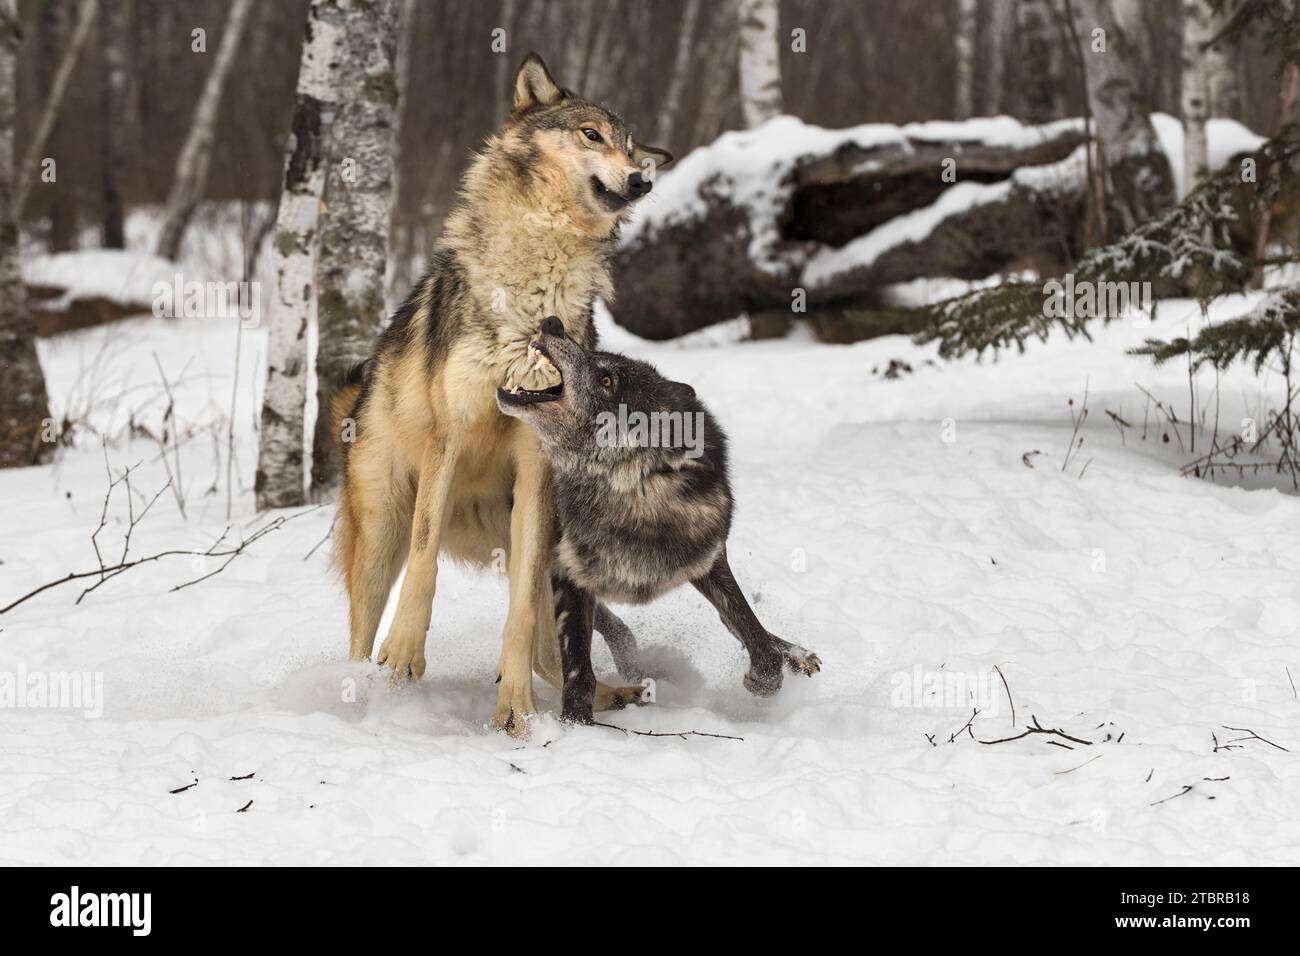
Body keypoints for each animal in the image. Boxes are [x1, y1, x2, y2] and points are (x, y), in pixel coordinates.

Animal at [331, 54, 671, 735]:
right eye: (592, 135)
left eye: (632, 148)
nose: (640, 181)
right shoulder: (449, 438)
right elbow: (426, 559)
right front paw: (405, 650)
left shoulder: (536, 463)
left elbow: (520, 618)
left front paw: (514, 707)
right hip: (380, 532)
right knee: (359, 633)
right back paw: (363, 695)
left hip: (537, 534)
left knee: (548, 643)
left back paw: (604, 695)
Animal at [496, 318, 821, 724]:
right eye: (598, 360)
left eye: (607, 380)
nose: (552, 322)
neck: (630, 500)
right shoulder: (567, 575)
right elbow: (579, 668)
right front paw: (576, 724)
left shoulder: (710, 561)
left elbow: (753, 632)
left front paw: (764, 680)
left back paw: (795, 654)